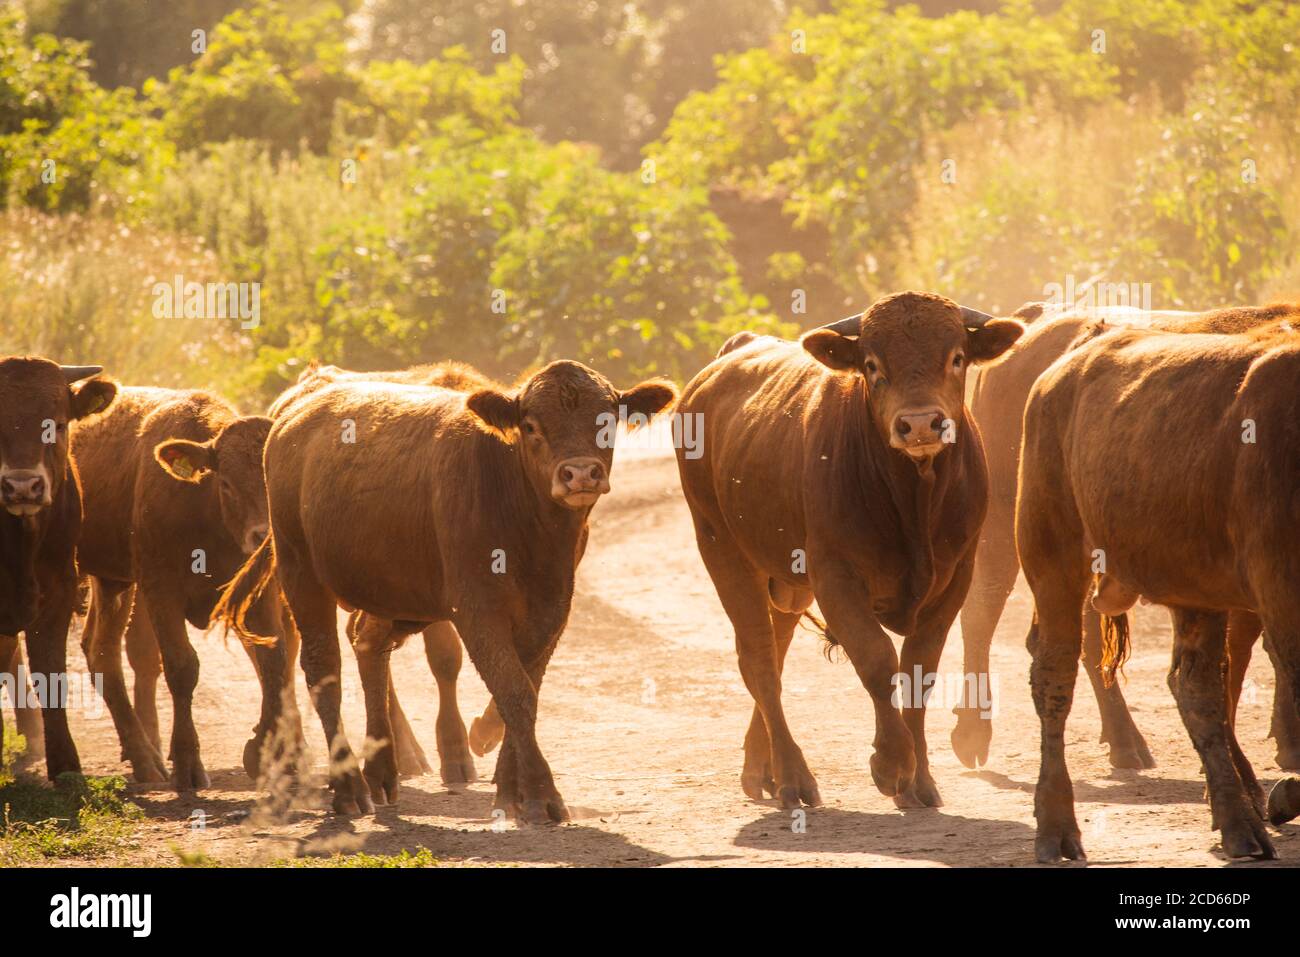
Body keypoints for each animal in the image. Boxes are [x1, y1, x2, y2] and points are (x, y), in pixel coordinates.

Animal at [72, 387, 292, 789]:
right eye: (226, 484)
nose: (263, 536)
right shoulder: (161, 589)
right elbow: (182, 666)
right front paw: (188, 761)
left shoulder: (259, 593)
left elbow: (273, 660)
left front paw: (262, 751)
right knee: (102, 653)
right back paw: (146, 759)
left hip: (115, 581)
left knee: (98, 650)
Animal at [216, 360, 676, 818]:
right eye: (530, 425)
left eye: (607, 420)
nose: (580, 473)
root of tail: (294, 416)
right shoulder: (476, 608)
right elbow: (514, 691)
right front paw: (541, 793)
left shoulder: (552, 606)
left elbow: (524, 689)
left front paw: (510, 787)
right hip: (302, 573)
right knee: (323, 668)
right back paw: (349, 788)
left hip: (387, 589)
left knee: (369, 646)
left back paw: (382, 770)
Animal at [675, 291, 1023, 809]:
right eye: (873, 365)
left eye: (957, 357)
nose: (920, 424)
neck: (913, 499)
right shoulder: (836, 577)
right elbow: (878, 661)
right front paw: (892, 764)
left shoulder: (956, 577)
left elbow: (919, 671)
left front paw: (921, 780)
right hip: (722, 548)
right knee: (759, 661)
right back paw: (793, 776)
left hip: (787, 580)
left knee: (775, 651)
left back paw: (763, 768)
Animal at [1017, 316, 1300, 860]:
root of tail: (1057, 374)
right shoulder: (1280, 590)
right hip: (1050, 555)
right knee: (1054, 674)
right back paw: (1056, 826)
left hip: (1195, 589)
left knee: (1196, 686)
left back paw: (1238, 821)